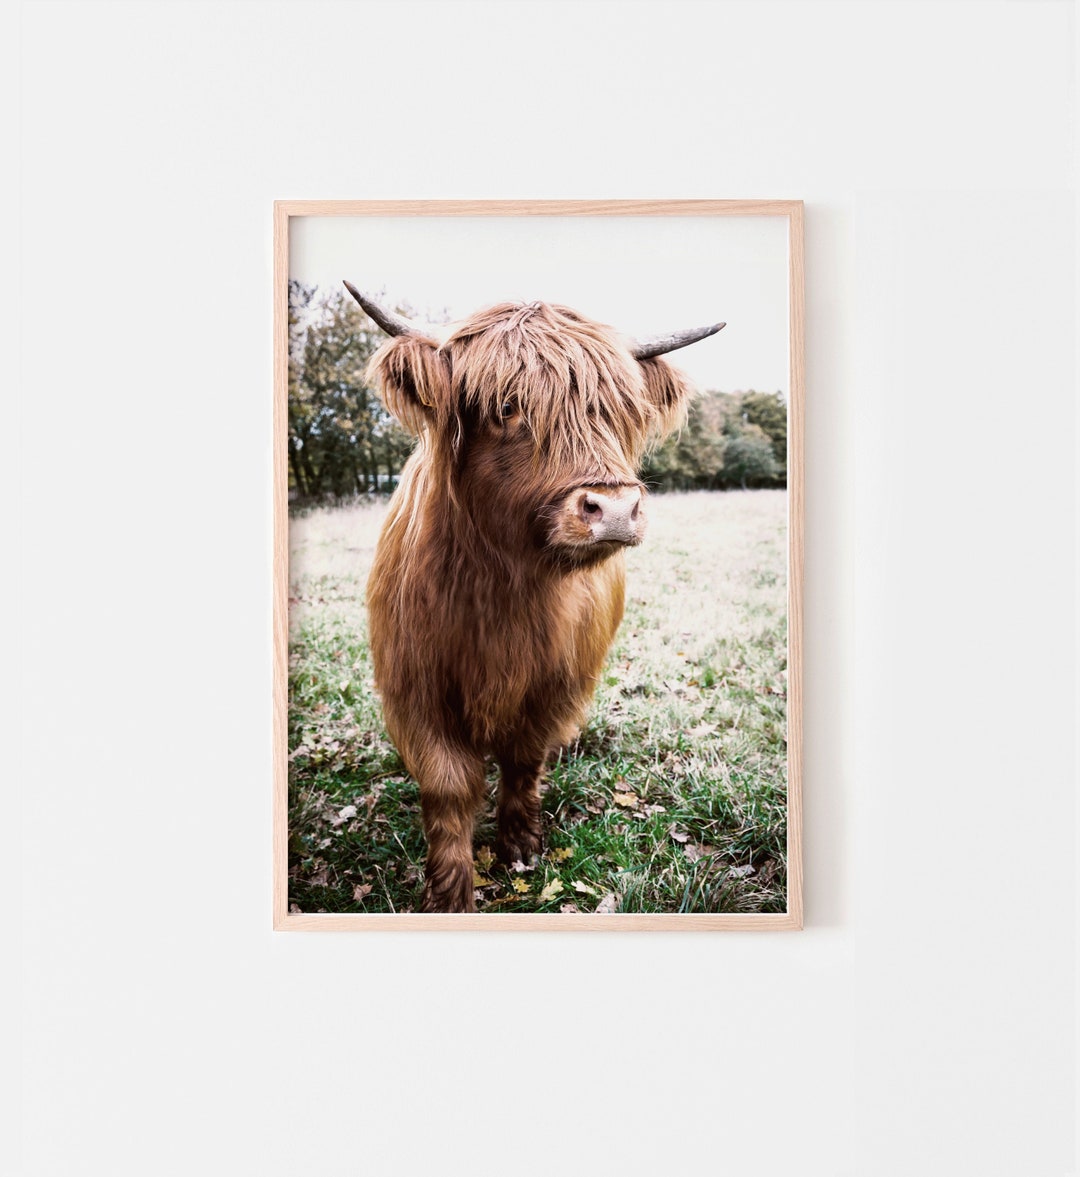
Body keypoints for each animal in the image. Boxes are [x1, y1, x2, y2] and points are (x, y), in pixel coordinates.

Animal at [345, 282, 724, 912]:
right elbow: (448, 788)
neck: (503, 589)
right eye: (506, 407)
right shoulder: (414, 685)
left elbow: (524, 760)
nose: (615, 509)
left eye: (619, 409)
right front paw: (450, 894)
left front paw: (520, 845)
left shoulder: (555, 682)